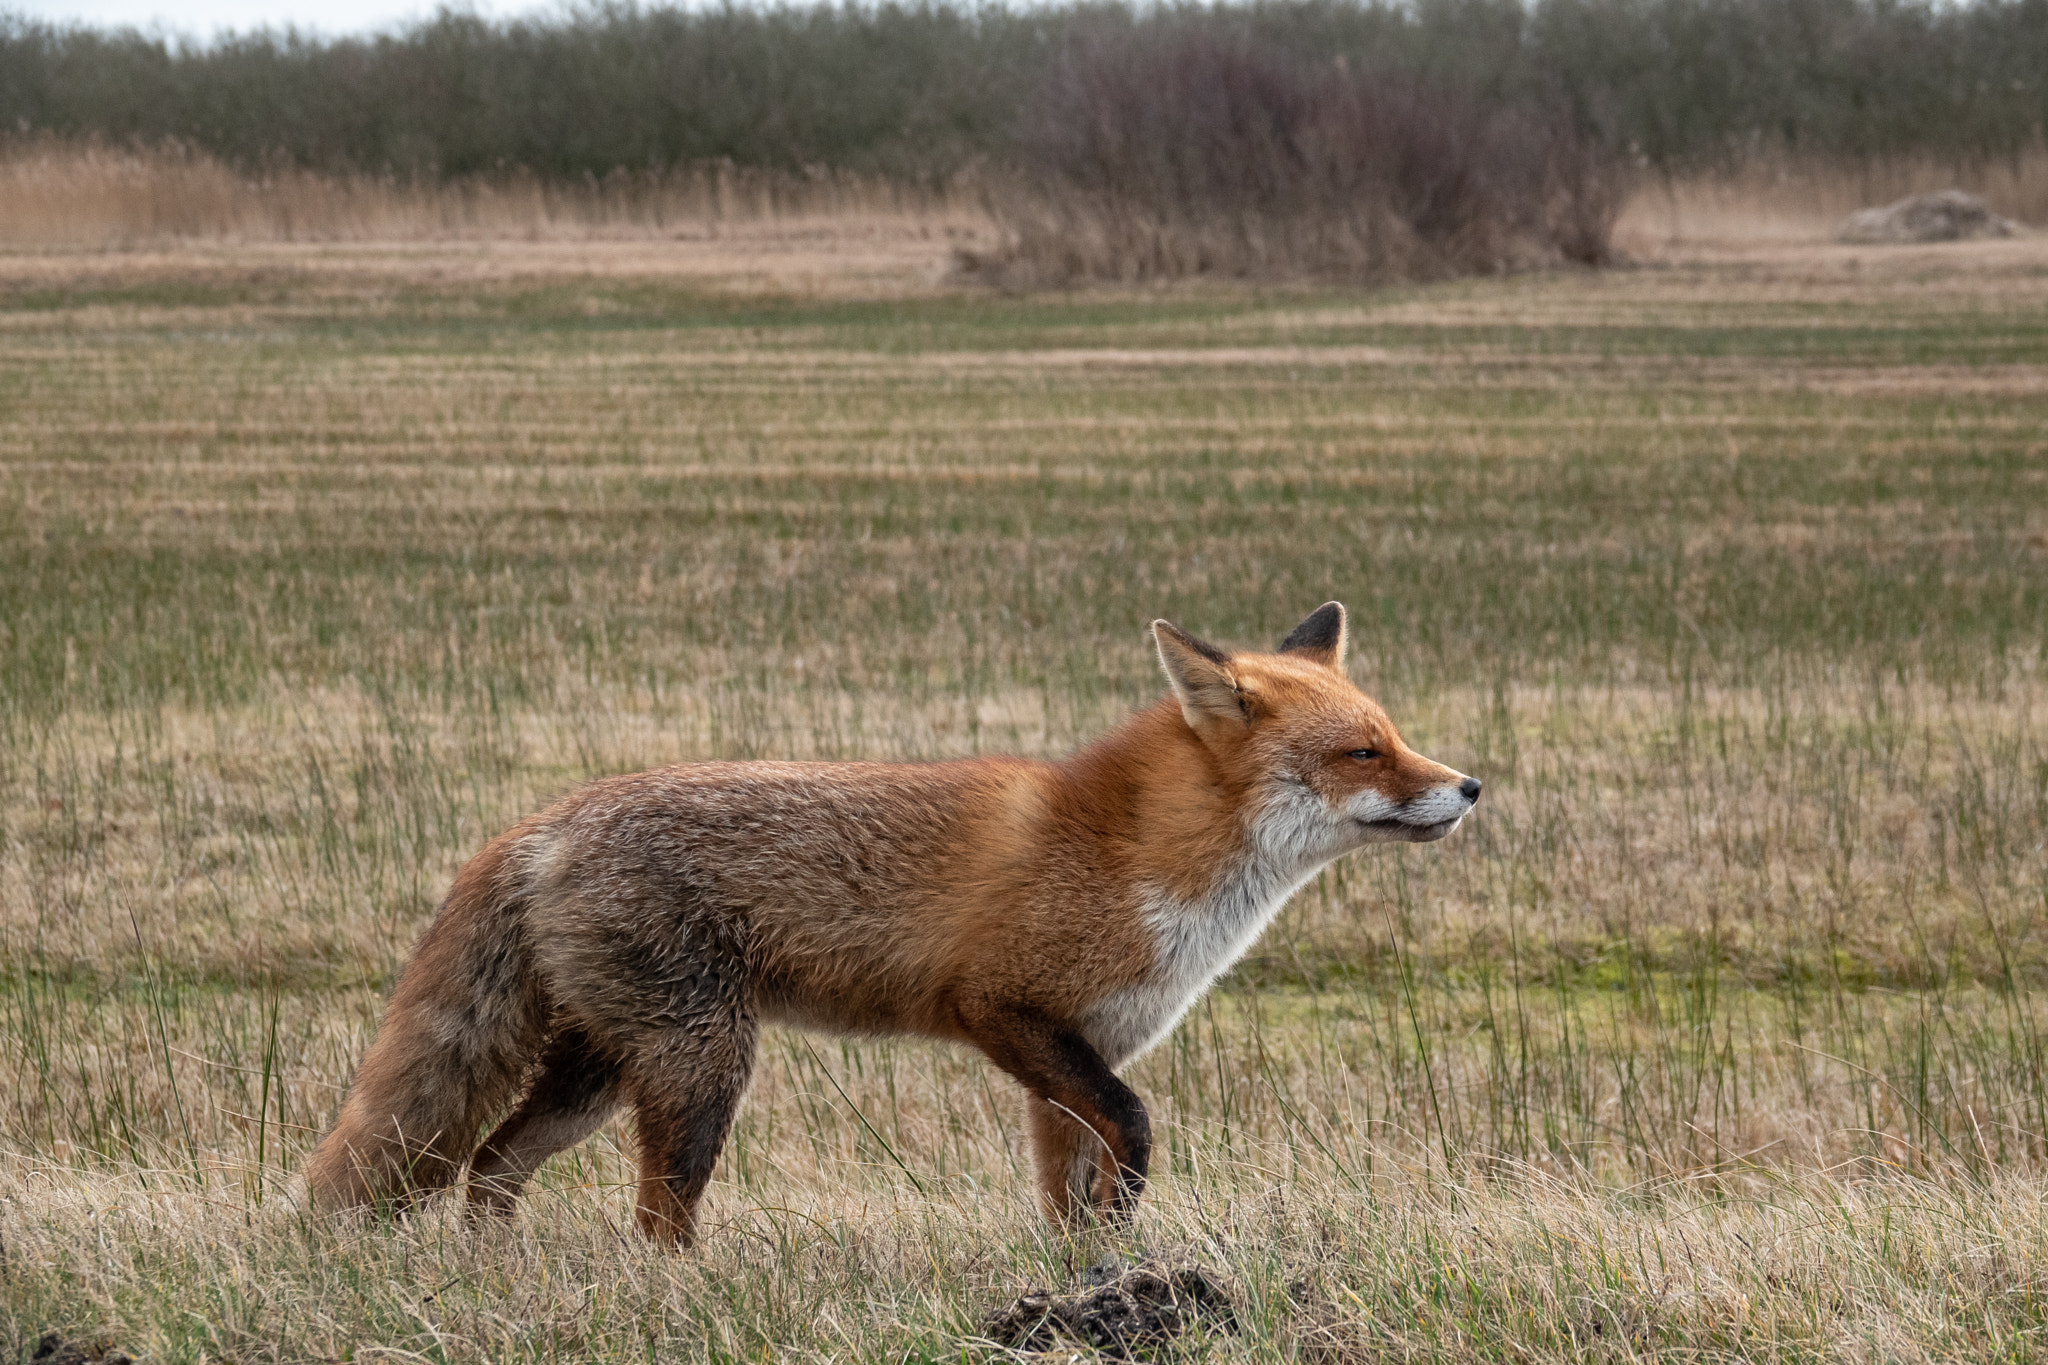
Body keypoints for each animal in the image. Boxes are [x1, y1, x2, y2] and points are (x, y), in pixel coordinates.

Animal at [304, 602, 1480, 1244]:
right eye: (1363, 752)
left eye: (1393, 736)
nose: (1469, 788)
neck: (1137, 855)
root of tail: (541, 823)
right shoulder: (1002, 1008)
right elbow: (1136, 1127)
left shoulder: (1069, 1059)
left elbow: (1070, 1197)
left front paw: (1090, 1287)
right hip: (701, 1064)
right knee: (650, 1218)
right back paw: (676, 1295)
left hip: (602, 1068)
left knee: (488, 1169)